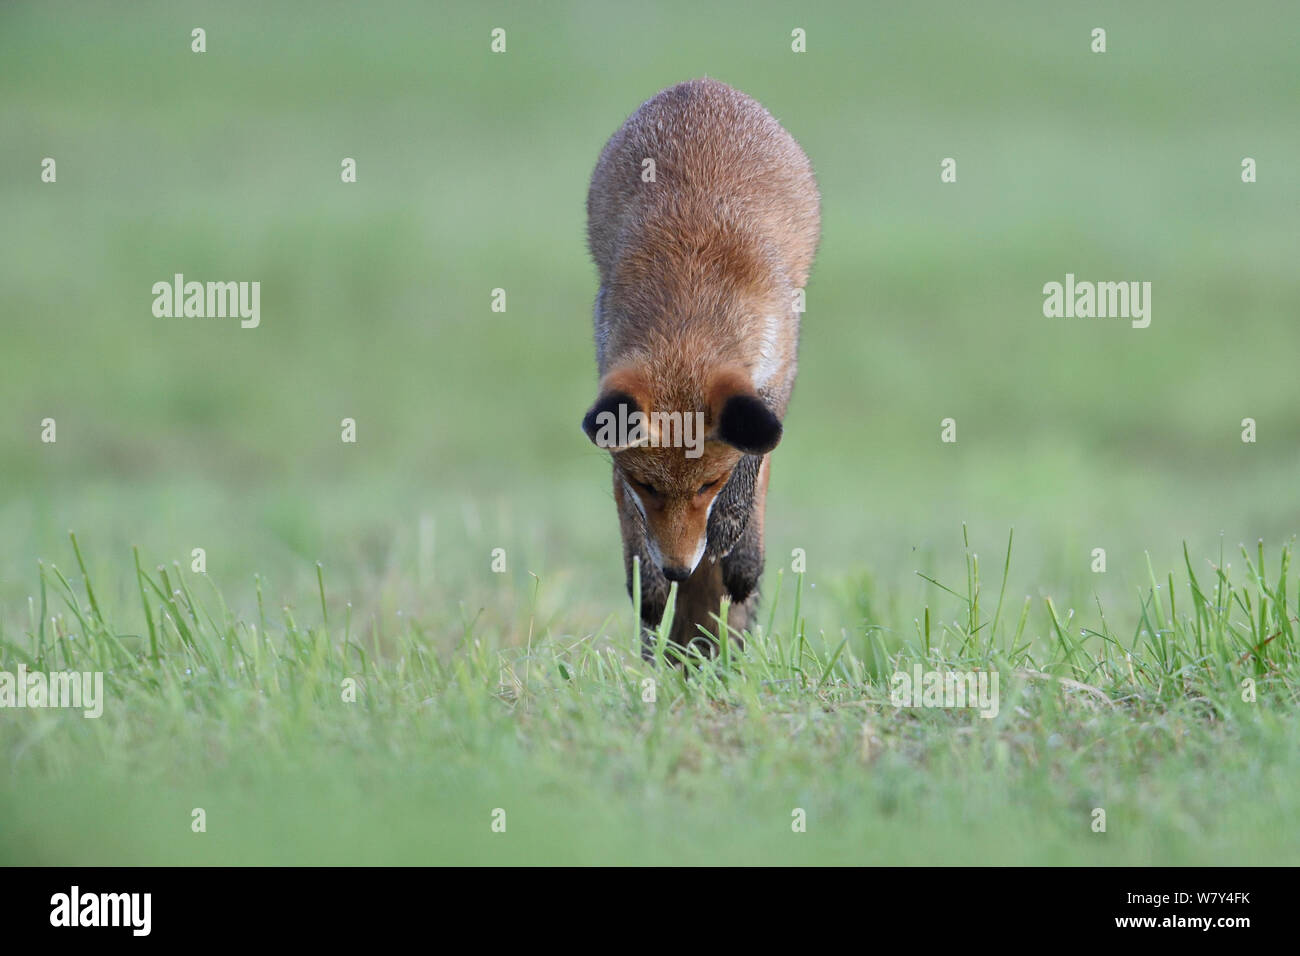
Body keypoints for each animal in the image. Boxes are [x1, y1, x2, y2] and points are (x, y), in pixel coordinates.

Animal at [582, 78, 820, 655]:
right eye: (646, 486)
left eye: (709, 485)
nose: (677, 570)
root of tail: (700, 85)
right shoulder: (607, 358)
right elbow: (628, 521)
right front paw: (647, 586)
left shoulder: (777, 367)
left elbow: (752, 469)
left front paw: (733, 541)